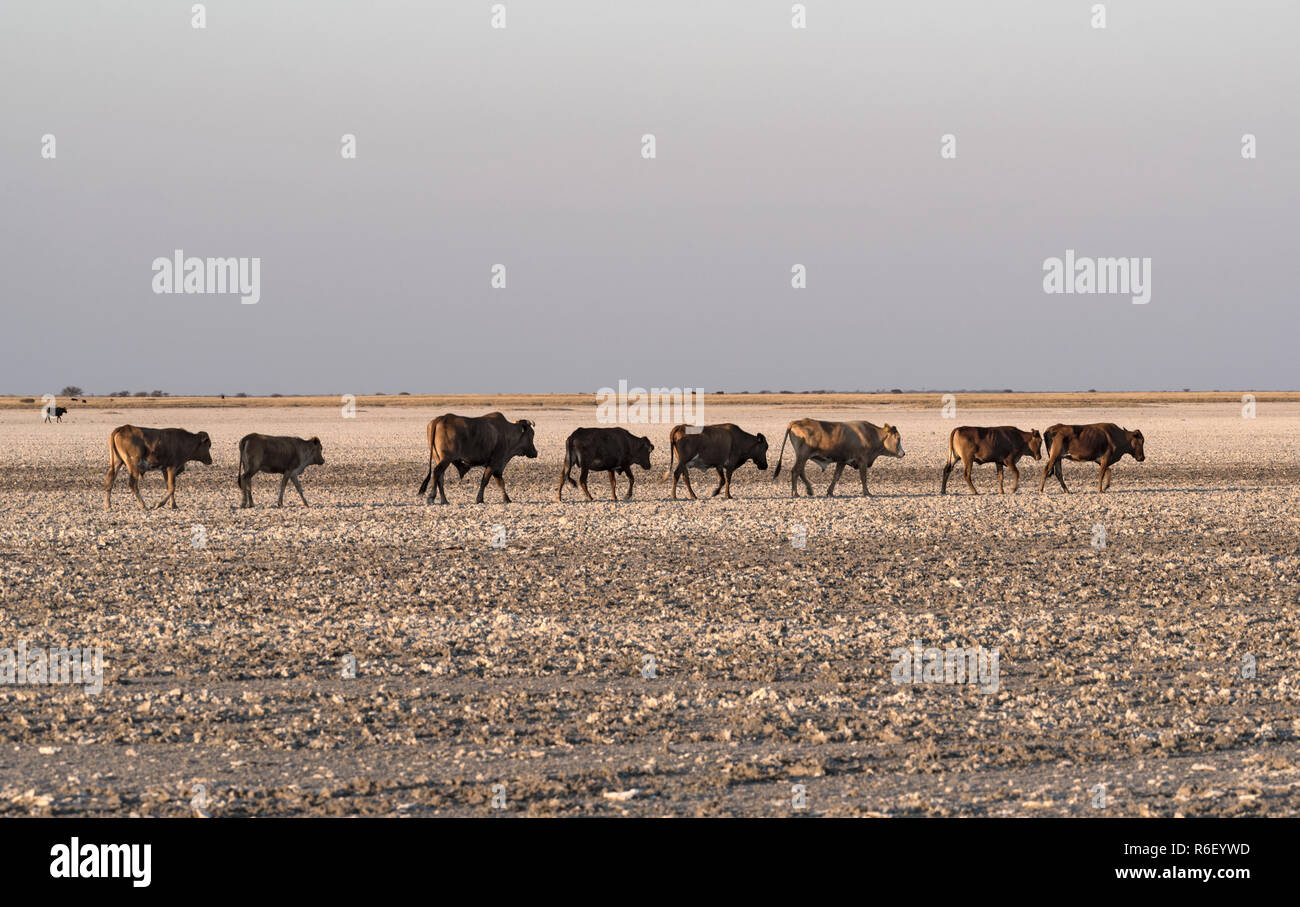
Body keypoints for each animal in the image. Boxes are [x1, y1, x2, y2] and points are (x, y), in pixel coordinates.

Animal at [773, 419, 905, 498]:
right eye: (898, 438)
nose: (903, 453)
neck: (872, 435)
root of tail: (797, 421)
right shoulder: (862, 461)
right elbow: (863, 477)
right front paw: (867, 492)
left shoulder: (842, 461)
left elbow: (836, 476)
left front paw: (830, 492)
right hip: (803, 456)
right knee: (796, 471)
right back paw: (795, 493)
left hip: (802, 457)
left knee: (801, 471)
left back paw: (809, 490)